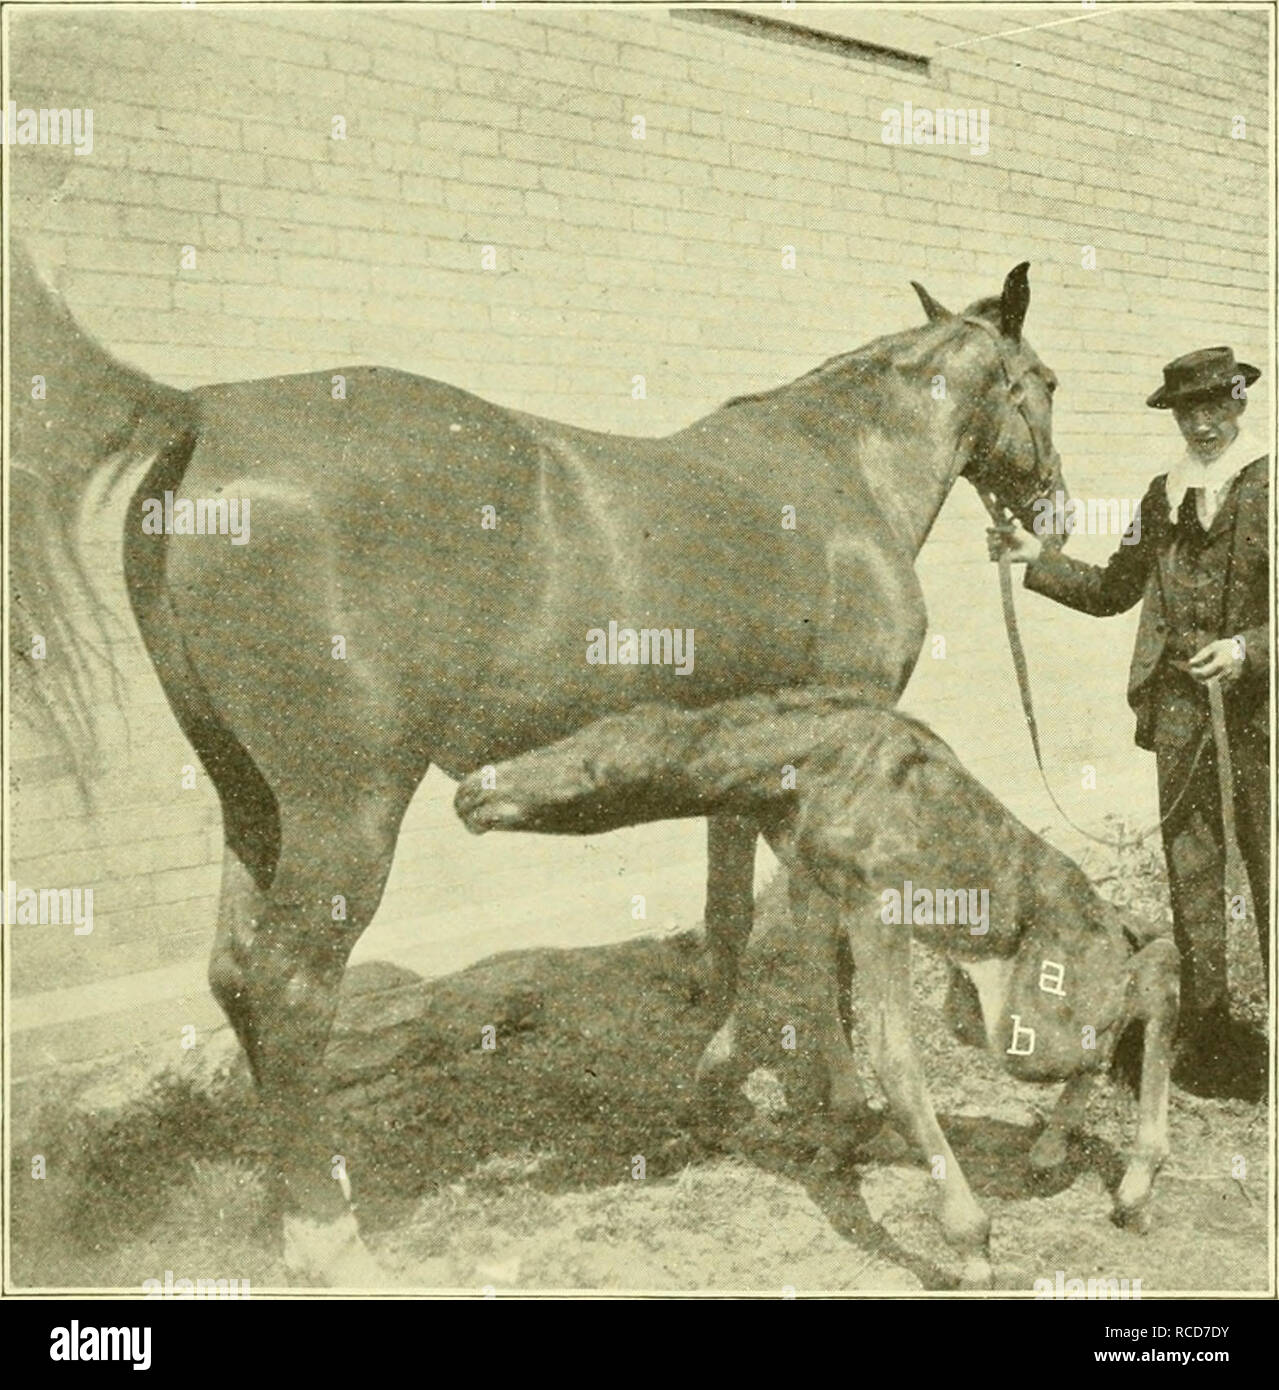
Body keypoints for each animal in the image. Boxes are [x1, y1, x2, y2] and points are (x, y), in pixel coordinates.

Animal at [9, 247, 1064, 1283]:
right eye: (1046, 382)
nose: (1049, 511)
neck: (843, 471)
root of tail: (206, 414)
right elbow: (816, 932)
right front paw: (847, 1119)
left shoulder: (747, 766)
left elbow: (730, 918)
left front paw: (716, 1085)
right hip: (347, 811)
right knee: (291, 988)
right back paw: (330, 1238)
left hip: (251, 798)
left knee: (234, 974)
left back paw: (291, 1209)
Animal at [455, 689, 1180, 1288]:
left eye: (590, 769)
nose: (467, 793)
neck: (802, 768)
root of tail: (1106, 925)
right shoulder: (812, 880)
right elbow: (801, 984)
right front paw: (752, 1110)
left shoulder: (878, 903)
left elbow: (891, 1055)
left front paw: (970, 1246)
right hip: (985, 1011)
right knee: (1115, 1015)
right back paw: (1052, 1149)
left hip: (1033, 1026)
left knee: (1156, 972)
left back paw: (1135, 1187)